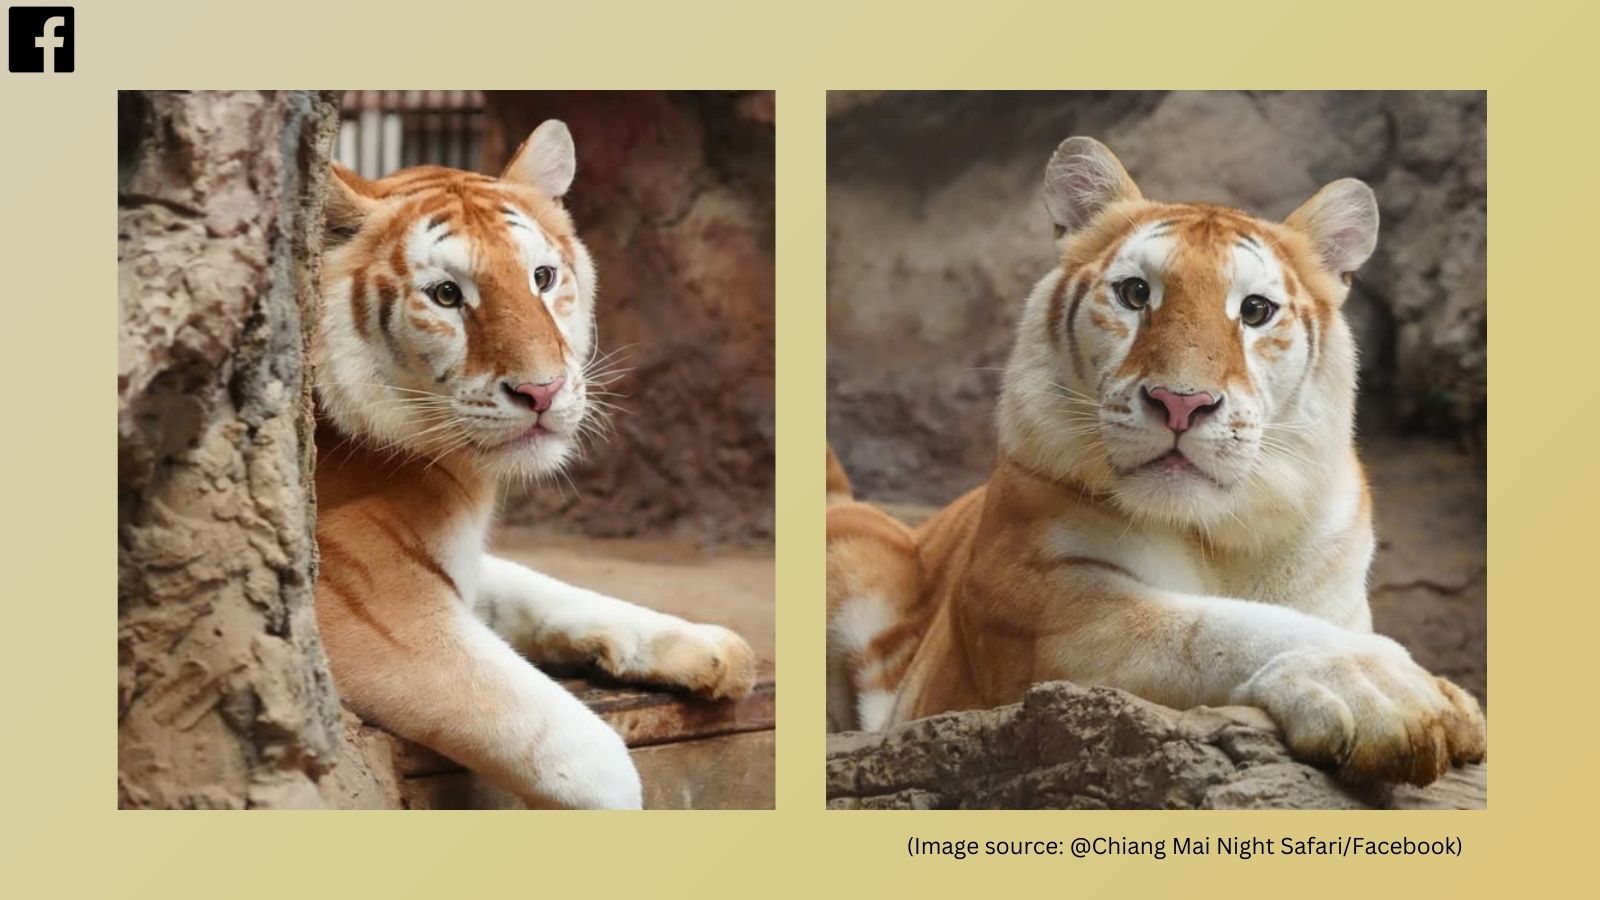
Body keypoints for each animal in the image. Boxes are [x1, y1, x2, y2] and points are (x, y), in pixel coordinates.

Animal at [312, 120, 756, 809]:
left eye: (542, 278)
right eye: (447, 295)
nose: (542, 391)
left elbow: (545, 588)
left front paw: (708, 646)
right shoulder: (372, 615)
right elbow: (586, 751)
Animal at [826, 136, 1486, 787]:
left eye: (1255, 310)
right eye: (1136, 293)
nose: (1181, 403)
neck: (1223, 535)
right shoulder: (1050, 613)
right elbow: (1215, 627)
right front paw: (1390, 692)